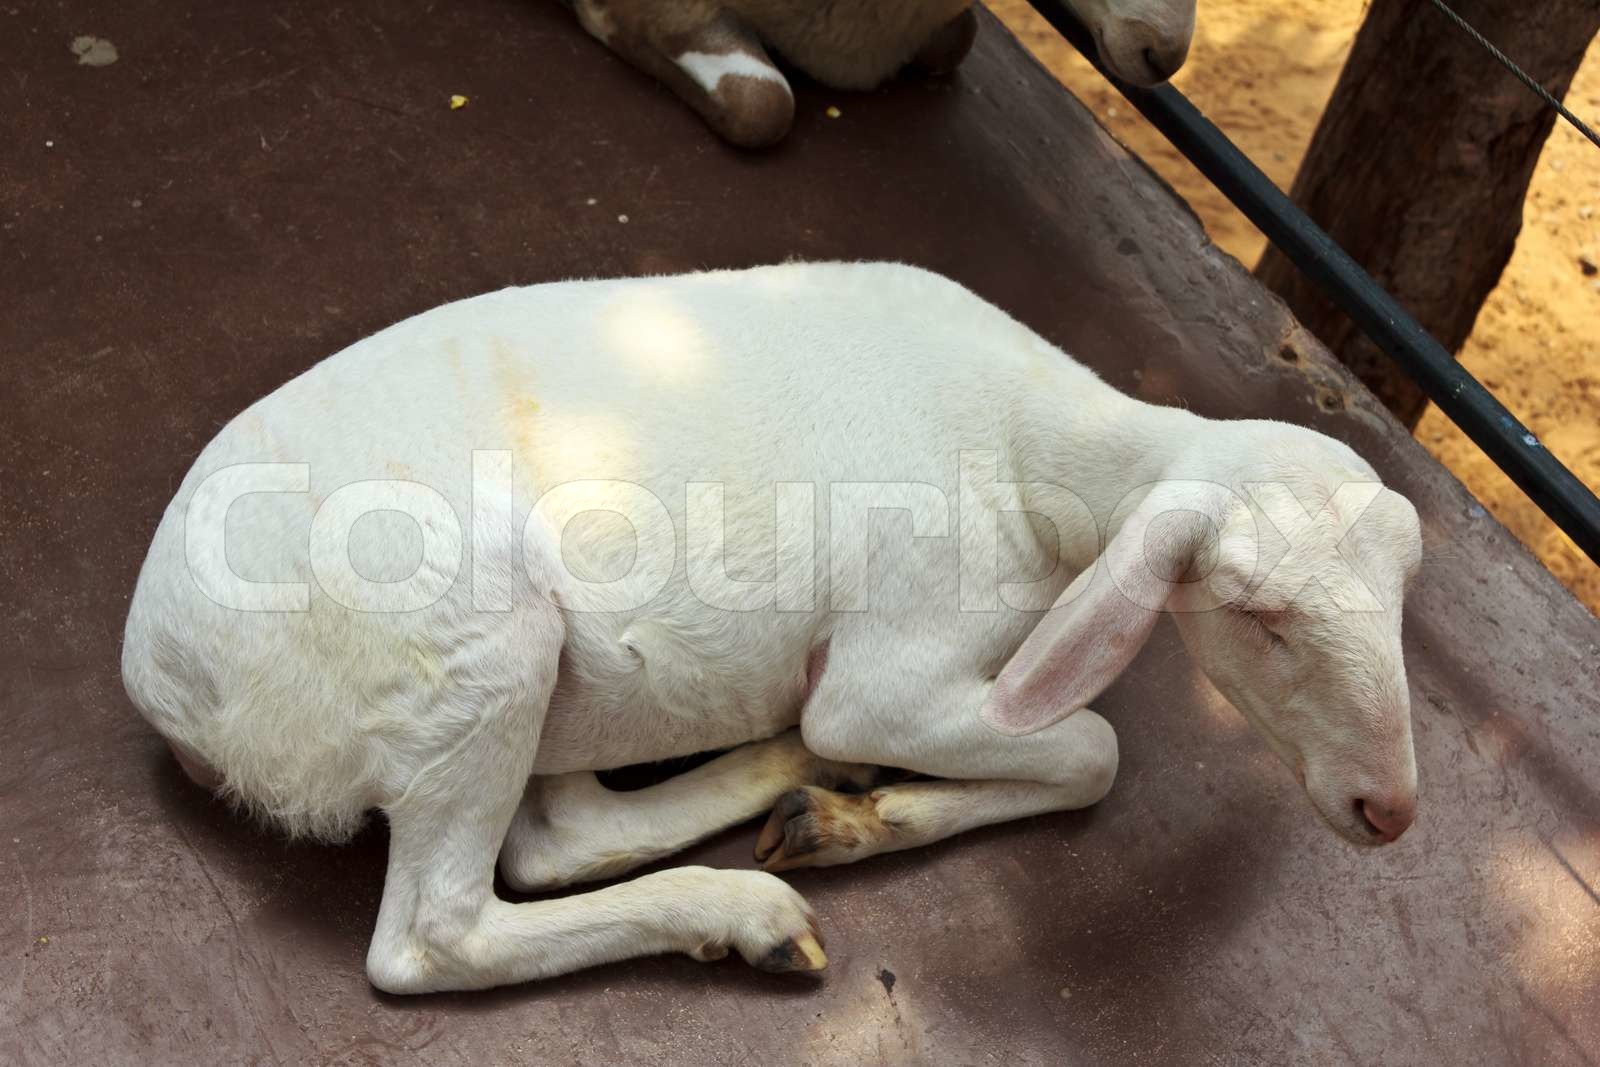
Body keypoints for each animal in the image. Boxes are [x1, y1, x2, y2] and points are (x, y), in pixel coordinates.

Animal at [123, 262, 1422, 993]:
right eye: (1257, 612)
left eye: (1405, 590)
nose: (1389, 809)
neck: (1033, 443)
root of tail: (167, 684)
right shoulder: (901, 662)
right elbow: (1096, 751)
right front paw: (870, 810)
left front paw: (848, 812)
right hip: (472, 649)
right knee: (435, 935)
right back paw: (747, 910)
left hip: (555, 680)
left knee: (562, 830)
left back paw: (785, 790)